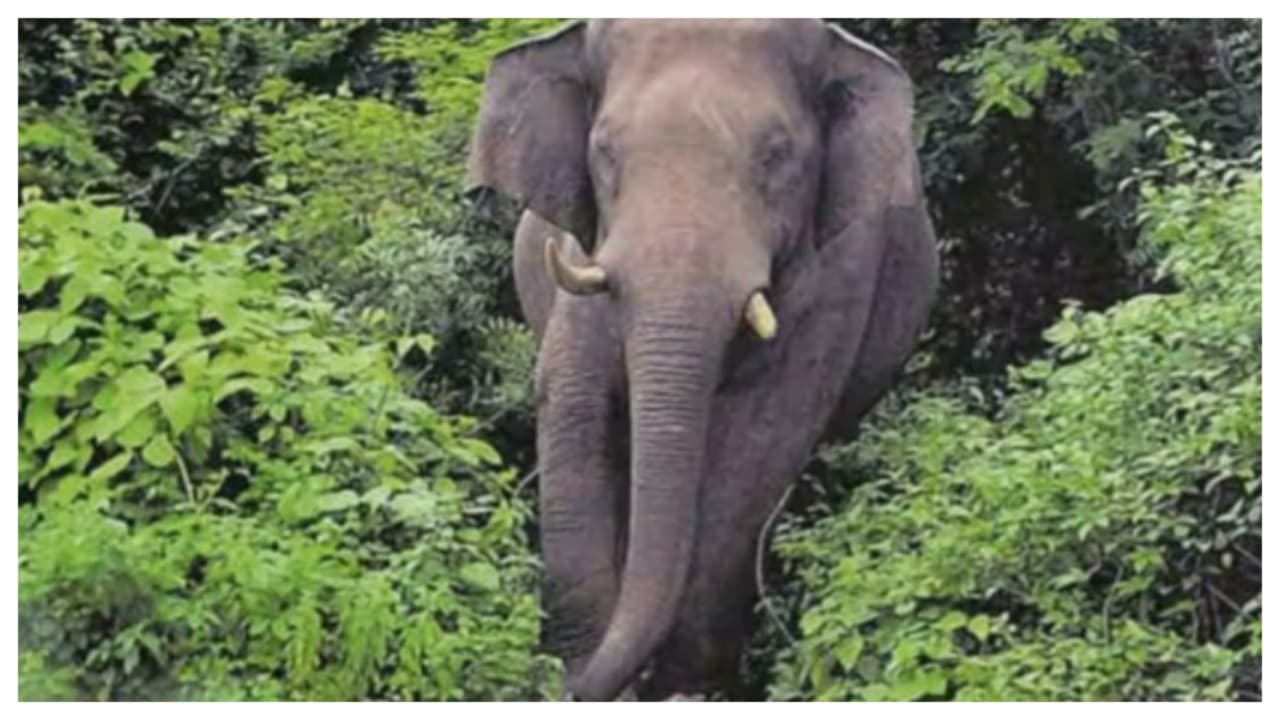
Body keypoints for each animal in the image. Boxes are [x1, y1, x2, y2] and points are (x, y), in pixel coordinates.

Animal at [466, 19, 938, 701]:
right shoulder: (583, 253)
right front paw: (587, 665)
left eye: (776, 156)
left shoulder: (842, 269)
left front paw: (684, 687)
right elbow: (574, 403)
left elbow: (762, 437)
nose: (571, 689)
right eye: (605, 152)